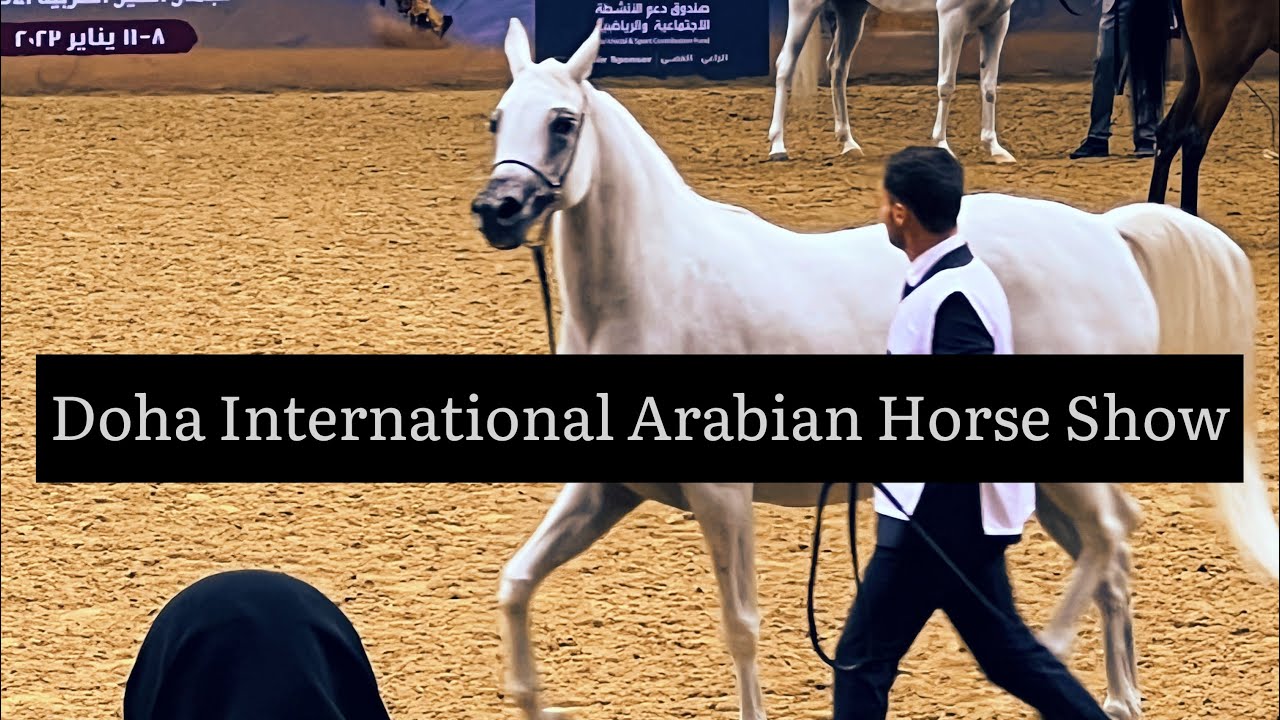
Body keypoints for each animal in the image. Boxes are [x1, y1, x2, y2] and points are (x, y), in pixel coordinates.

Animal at [469, 18, 1276, 720]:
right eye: (497, 120)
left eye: (563, 123)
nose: (497, 210)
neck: (652, 291)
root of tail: (1107, 233)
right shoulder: (605, 491)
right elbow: (514, 583)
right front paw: (534, 702)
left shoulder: (722, 497)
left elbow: (741, 625)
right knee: (1110, 553)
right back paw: (1116, 697)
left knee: (1110, 538)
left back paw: (1052, 649)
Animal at [766, 0, 1075, 163]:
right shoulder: (952, 16)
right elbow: (946, 85)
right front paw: (941, 145)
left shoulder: (997, 22)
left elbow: (989, 88)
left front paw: (995, 148)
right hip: (805, 7)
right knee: (785, 67)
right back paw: (778, 147)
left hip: (851, 11)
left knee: (838, 68)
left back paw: (848, 143)